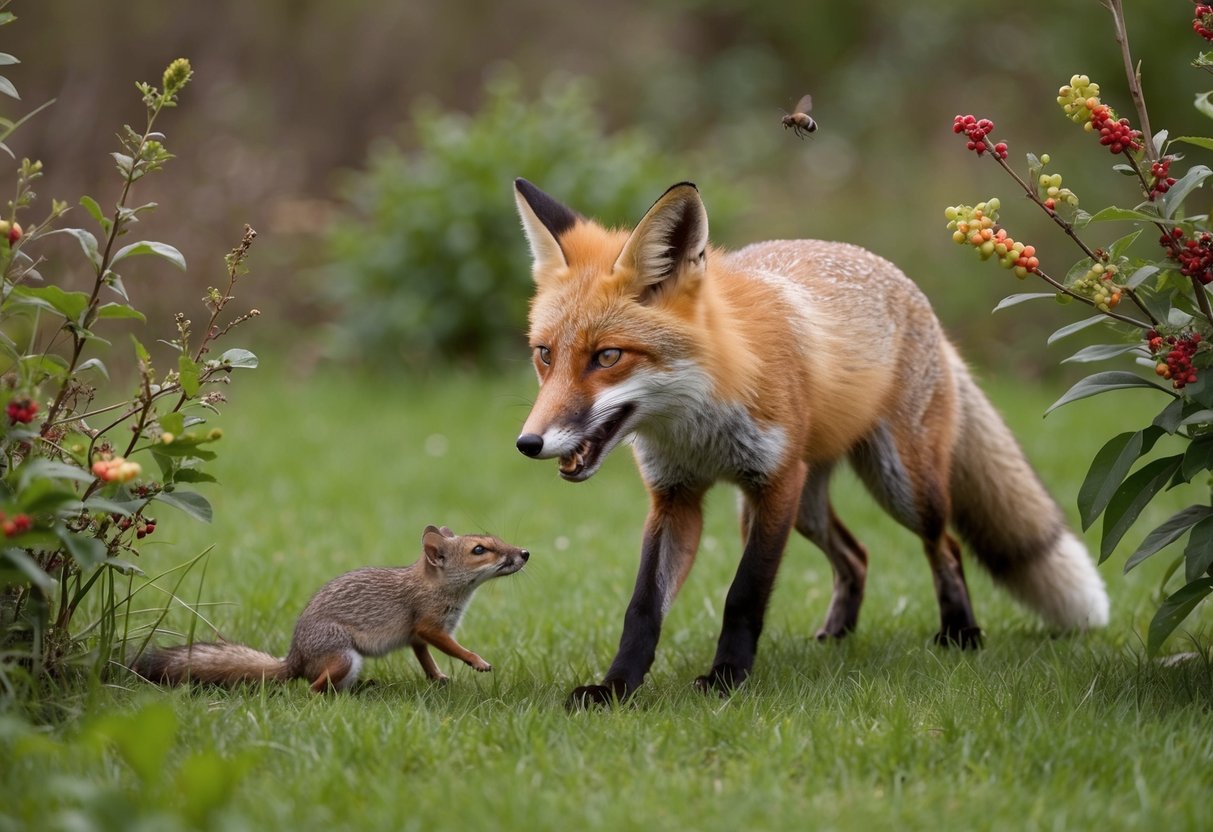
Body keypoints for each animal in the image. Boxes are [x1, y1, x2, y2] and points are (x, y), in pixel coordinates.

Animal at [511, 177, 1110, 707]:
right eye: (545, 355)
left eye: (607, 357)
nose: (528, 443)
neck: (698, 427)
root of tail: (919, 300)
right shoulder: (676, 497)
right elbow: (642, 608)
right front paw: (616, 688)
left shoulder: (776, 481)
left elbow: (744, 593)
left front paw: (727, 679)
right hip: (800, 503)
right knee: (857, 555)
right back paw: (838, 636)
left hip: (900, 487)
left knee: (946, 545)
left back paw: (960, 633)